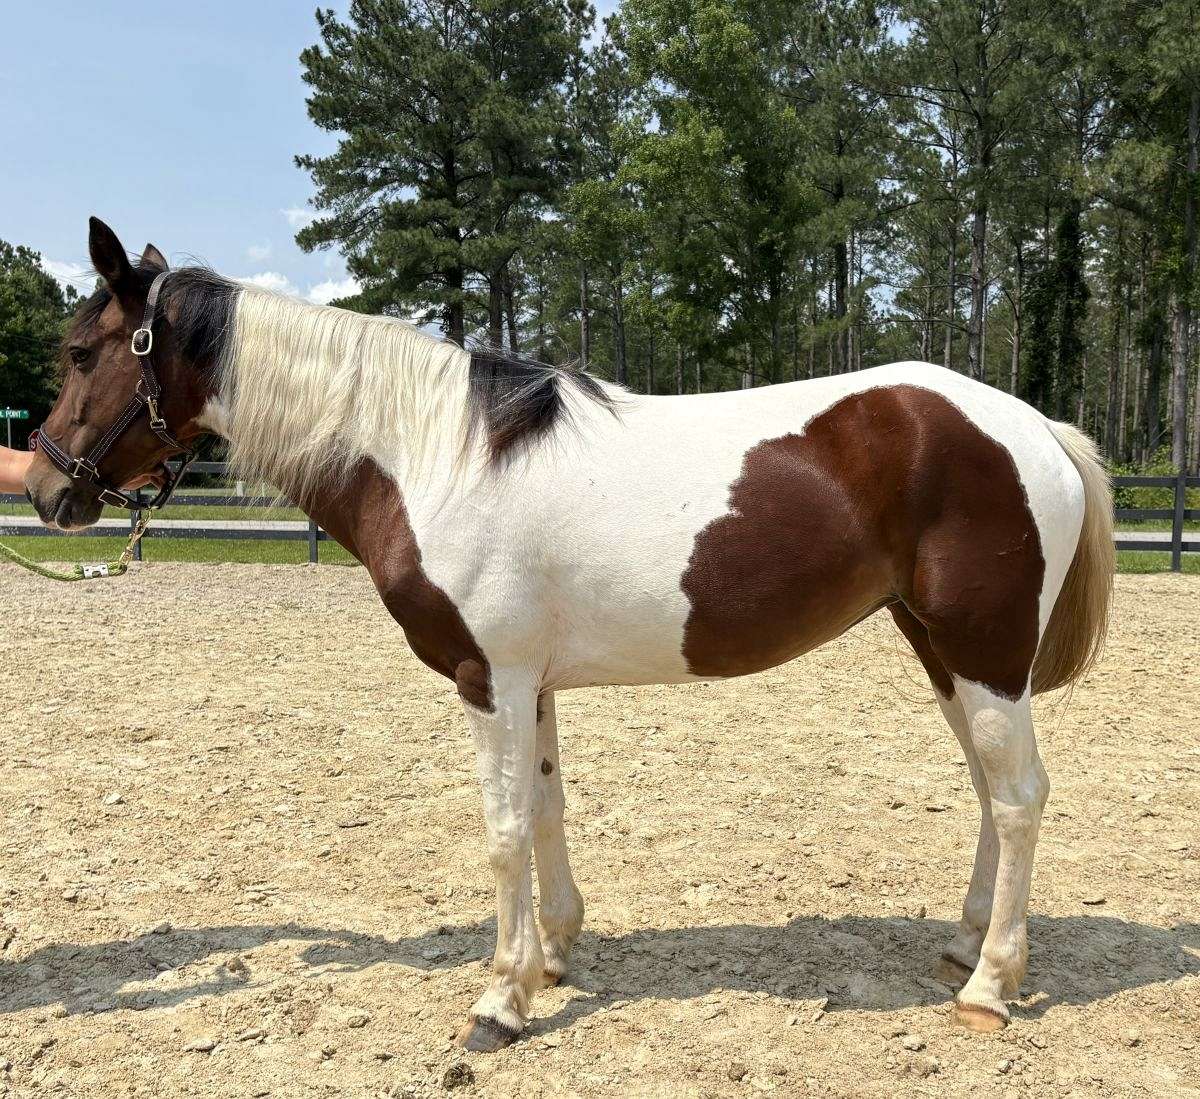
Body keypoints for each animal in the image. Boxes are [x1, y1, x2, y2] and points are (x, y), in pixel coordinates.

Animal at [26, 218, 1114, 1051]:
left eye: (81, 354)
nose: (42, 488)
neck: (436, 455)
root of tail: (1035, 427)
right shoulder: (529, 683)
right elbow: (545, 811)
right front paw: (550, 955)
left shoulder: (488, 678)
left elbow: (505, 830)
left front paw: (497, 1003)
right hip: (944, 649)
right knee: (989, 790)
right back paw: (965, 945)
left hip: (983, 651)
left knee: (1019, 795)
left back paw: (989, 986)